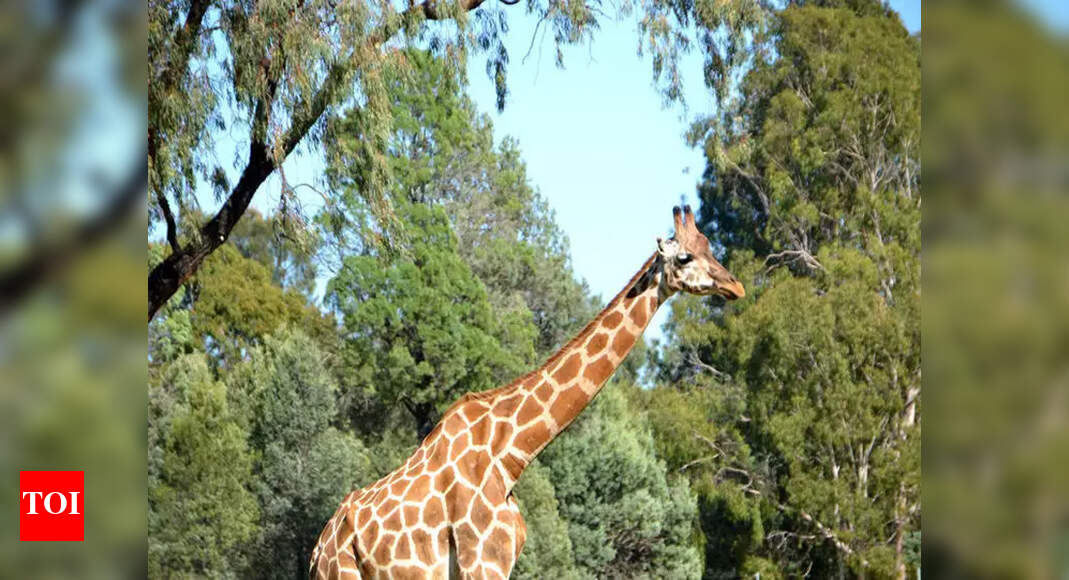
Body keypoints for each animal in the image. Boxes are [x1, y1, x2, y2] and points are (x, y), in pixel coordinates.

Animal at [310, 205, 744, 579]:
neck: (511, 453)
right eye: (685, 257)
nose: (735, 285)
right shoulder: (482, 563)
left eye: (710, 247)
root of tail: (319, 550)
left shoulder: (499, 563)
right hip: (342, 574)